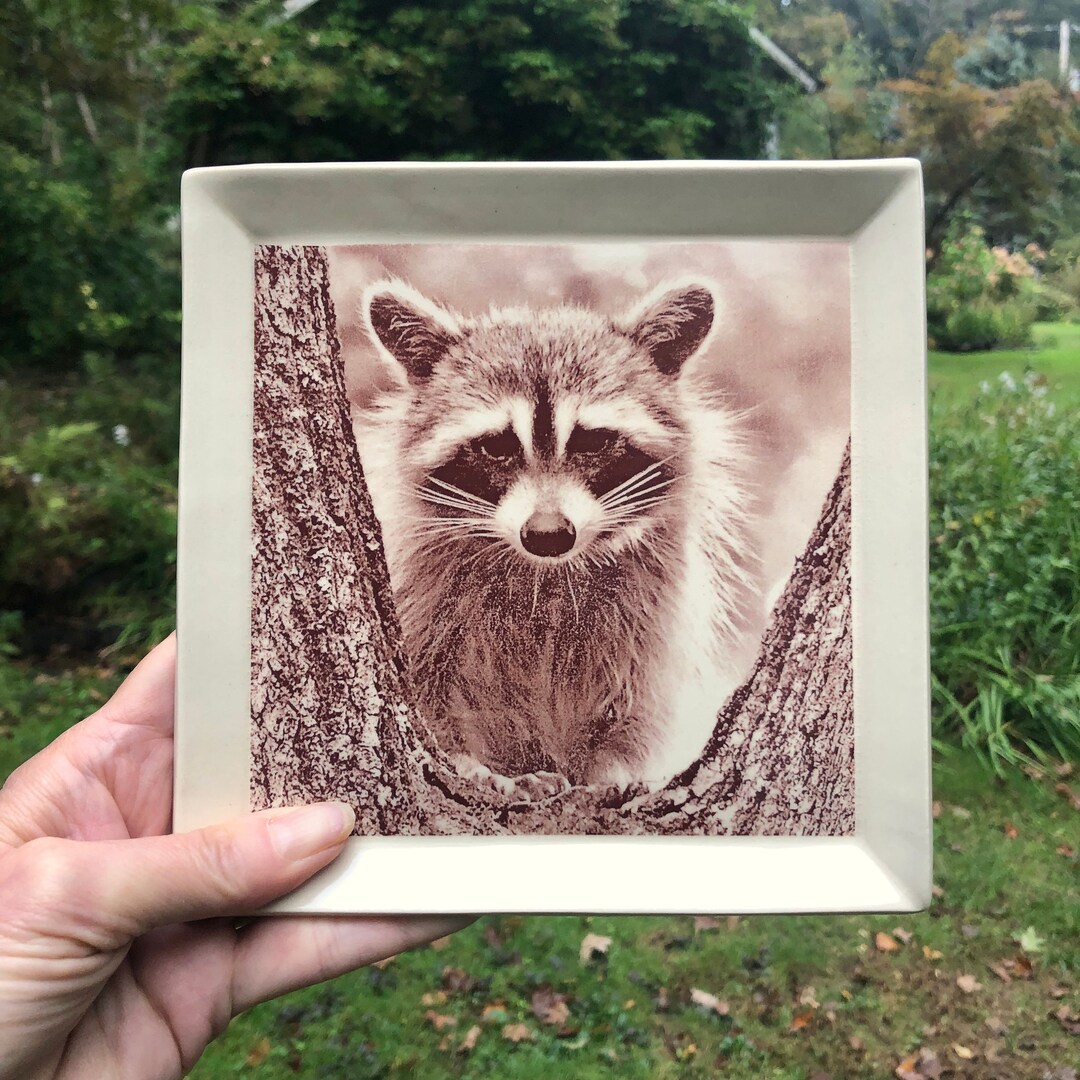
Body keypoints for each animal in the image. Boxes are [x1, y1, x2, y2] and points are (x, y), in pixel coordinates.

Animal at [352, 277, 754, 787]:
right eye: (496, 447)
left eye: (592, 441)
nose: (547, 533)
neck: (544, 573)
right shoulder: (421, 587)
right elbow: (432, 688)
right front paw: (467, 759)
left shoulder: (652, 609)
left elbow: (629, 701)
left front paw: (608, 766)